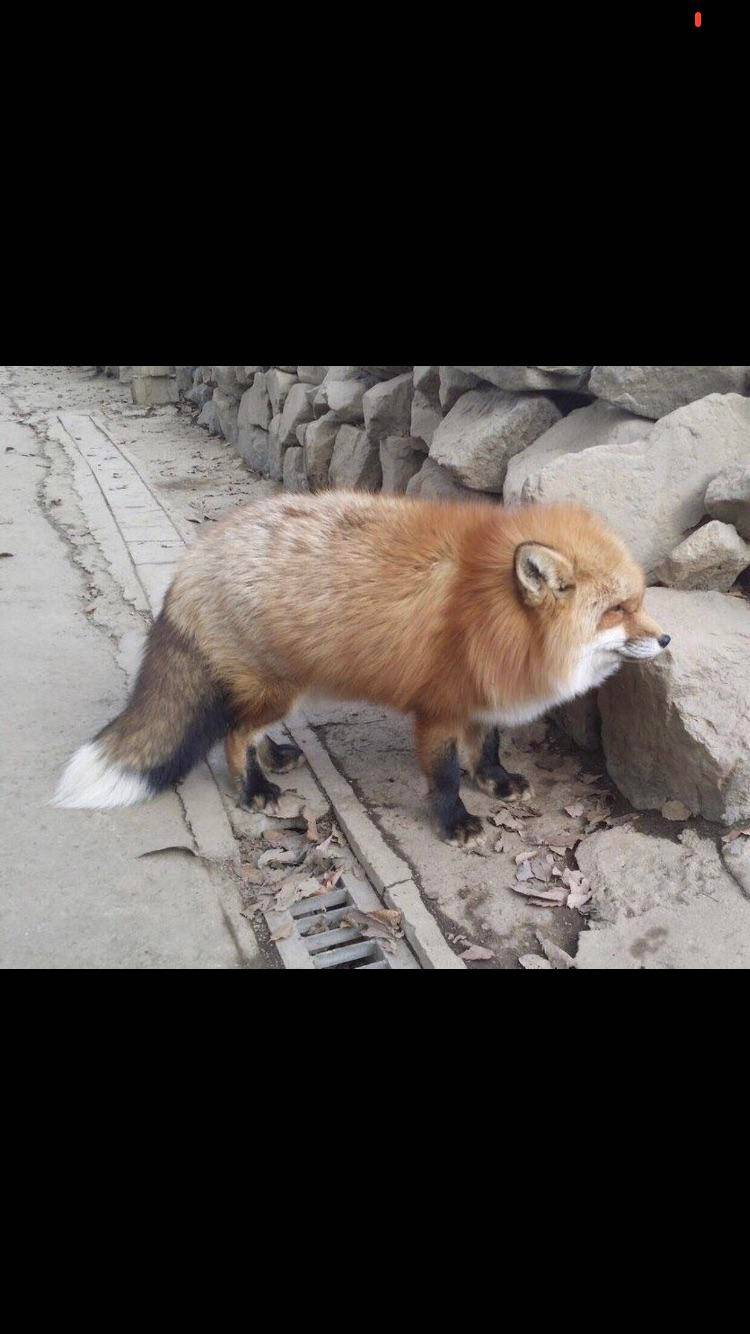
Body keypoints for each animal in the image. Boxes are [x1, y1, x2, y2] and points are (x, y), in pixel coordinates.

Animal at [53, 491, 670, 846]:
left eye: (640, 602)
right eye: (618, 610)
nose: (666, 639)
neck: (489, 613)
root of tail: (196, 556)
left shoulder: (485, 692)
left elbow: (489, 745)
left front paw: (495, 781)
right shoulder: (438, 711)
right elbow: (446, 776)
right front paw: (455, 823)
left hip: (281, 689)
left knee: (246, 728)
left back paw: (273, 757)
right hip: (279, 690)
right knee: (232, 734)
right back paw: (255, 790)